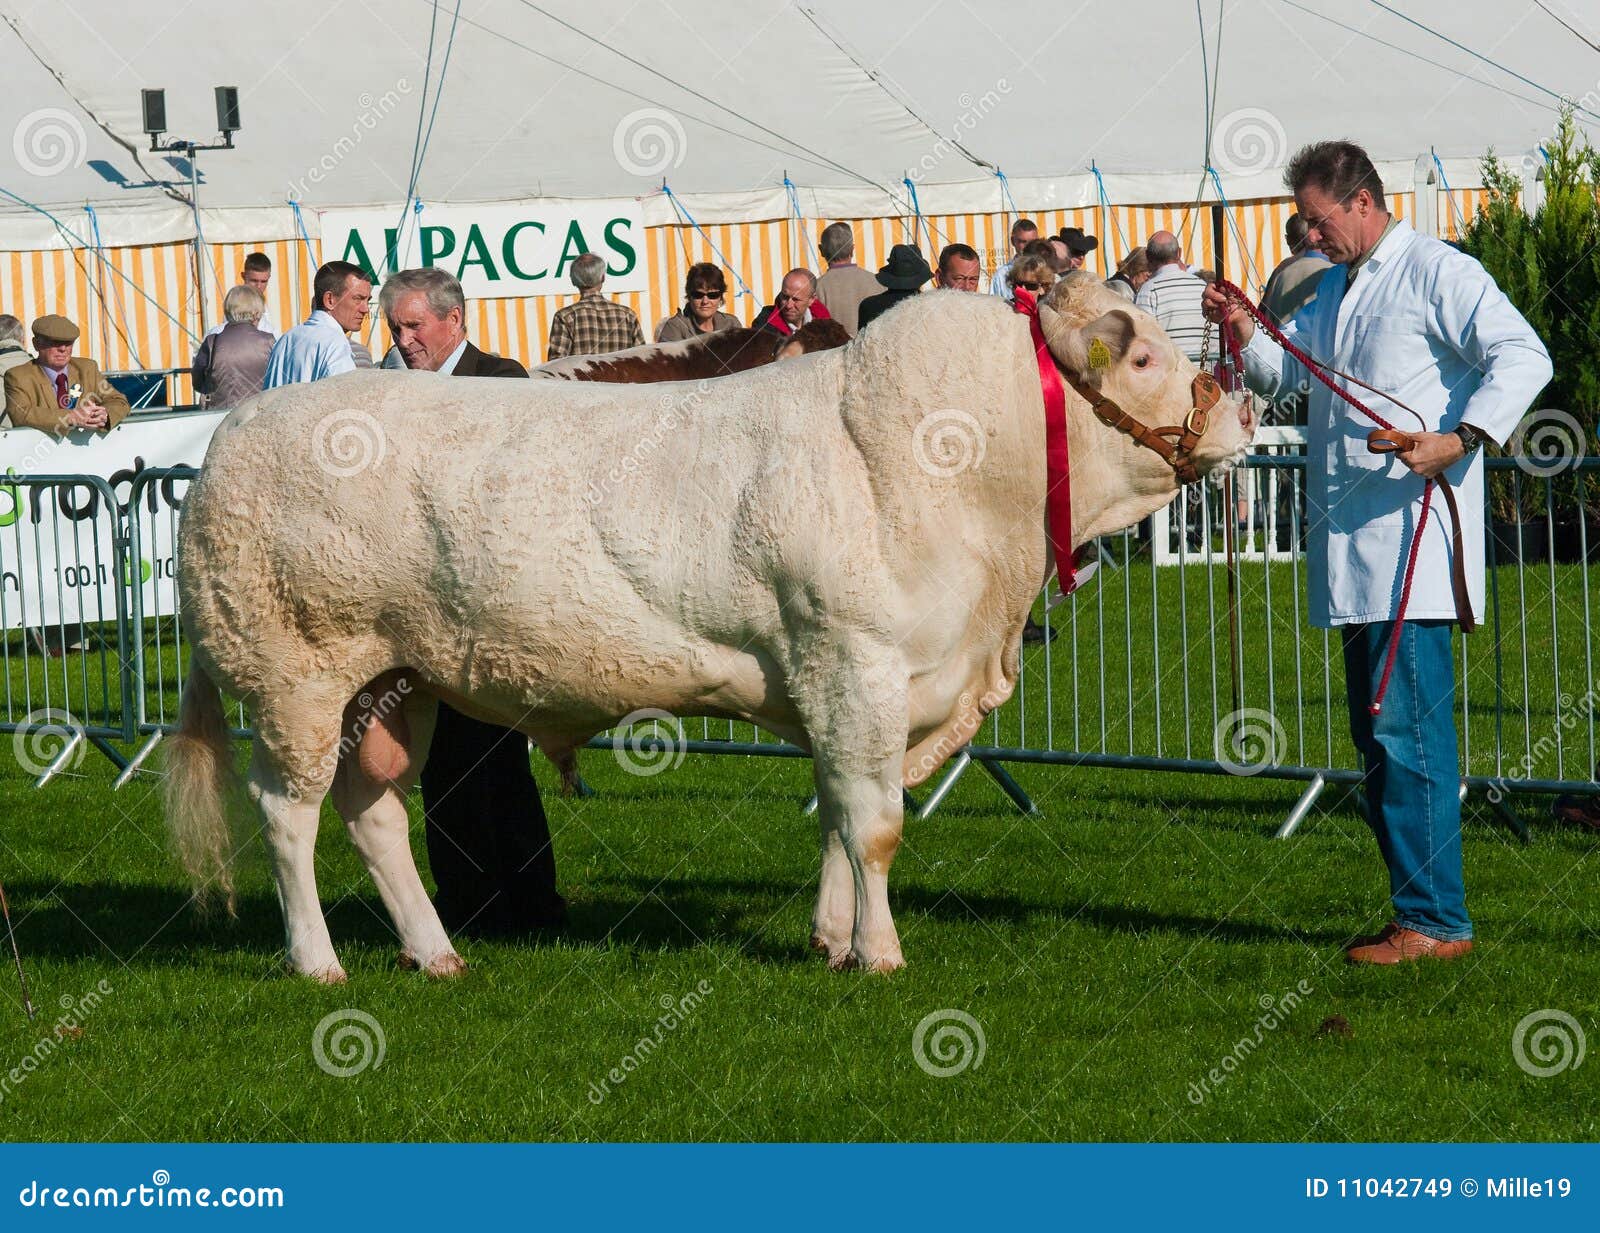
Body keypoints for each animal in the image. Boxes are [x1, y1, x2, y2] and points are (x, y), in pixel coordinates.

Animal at [163, 273, 1252, 983]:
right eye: (1143, 354)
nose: (1244, 412)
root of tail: (238, 430)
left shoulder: (847, 684)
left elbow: (837, 813)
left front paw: (831, 939)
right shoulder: (856, 662)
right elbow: (875, 824)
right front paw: (881, 953)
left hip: (395, 682)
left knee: (374, 812)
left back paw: (436, 953)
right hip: (294, 673)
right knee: (289, 814)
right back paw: (316, 962)